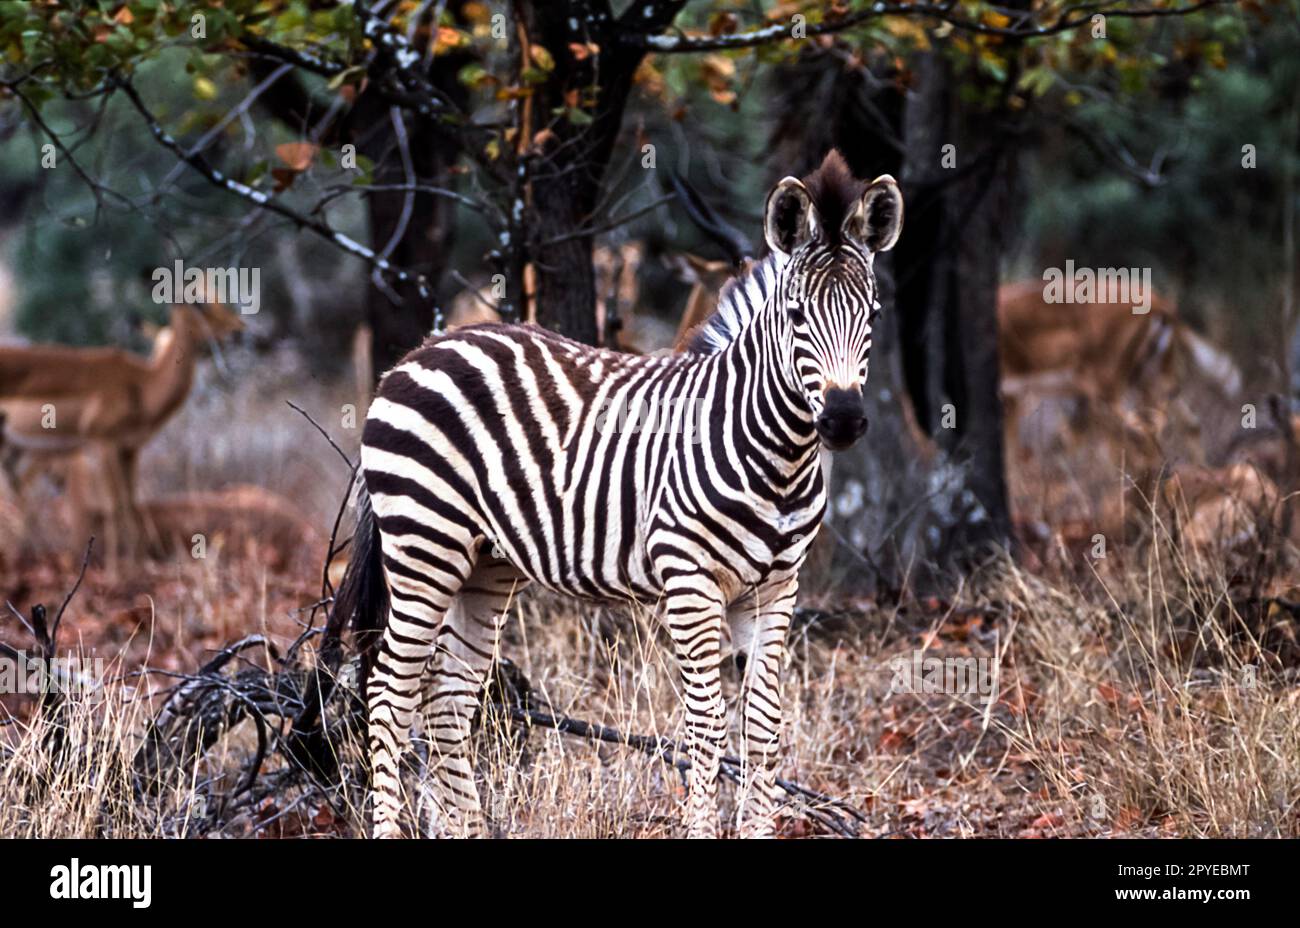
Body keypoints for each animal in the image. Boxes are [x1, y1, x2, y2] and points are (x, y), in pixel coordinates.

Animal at [332, 150, 903, 838]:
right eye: (795, 316)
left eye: (873, 314)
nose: (843, 420)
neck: (778, 459)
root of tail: (422, 349)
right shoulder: (689, 581)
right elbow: (705, 732)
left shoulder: (776, 586)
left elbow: (764, 727)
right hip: (424, 545)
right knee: (389, 695)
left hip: (486, 564)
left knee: (447, 700)